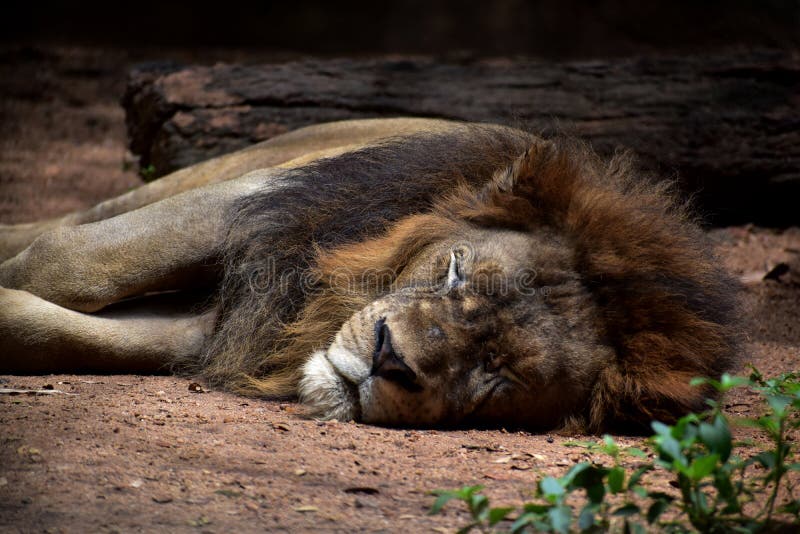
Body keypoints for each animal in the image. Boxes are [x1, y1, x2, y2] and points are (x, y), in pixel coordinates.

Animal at [0, 118, 739, 432]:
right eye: (454, 272)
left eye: (498, 373)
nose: (389, 358)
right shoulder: (258, 213)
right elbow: (68, 264)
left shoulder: (226, 329)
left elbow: (54, 331)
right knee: (64, 224)